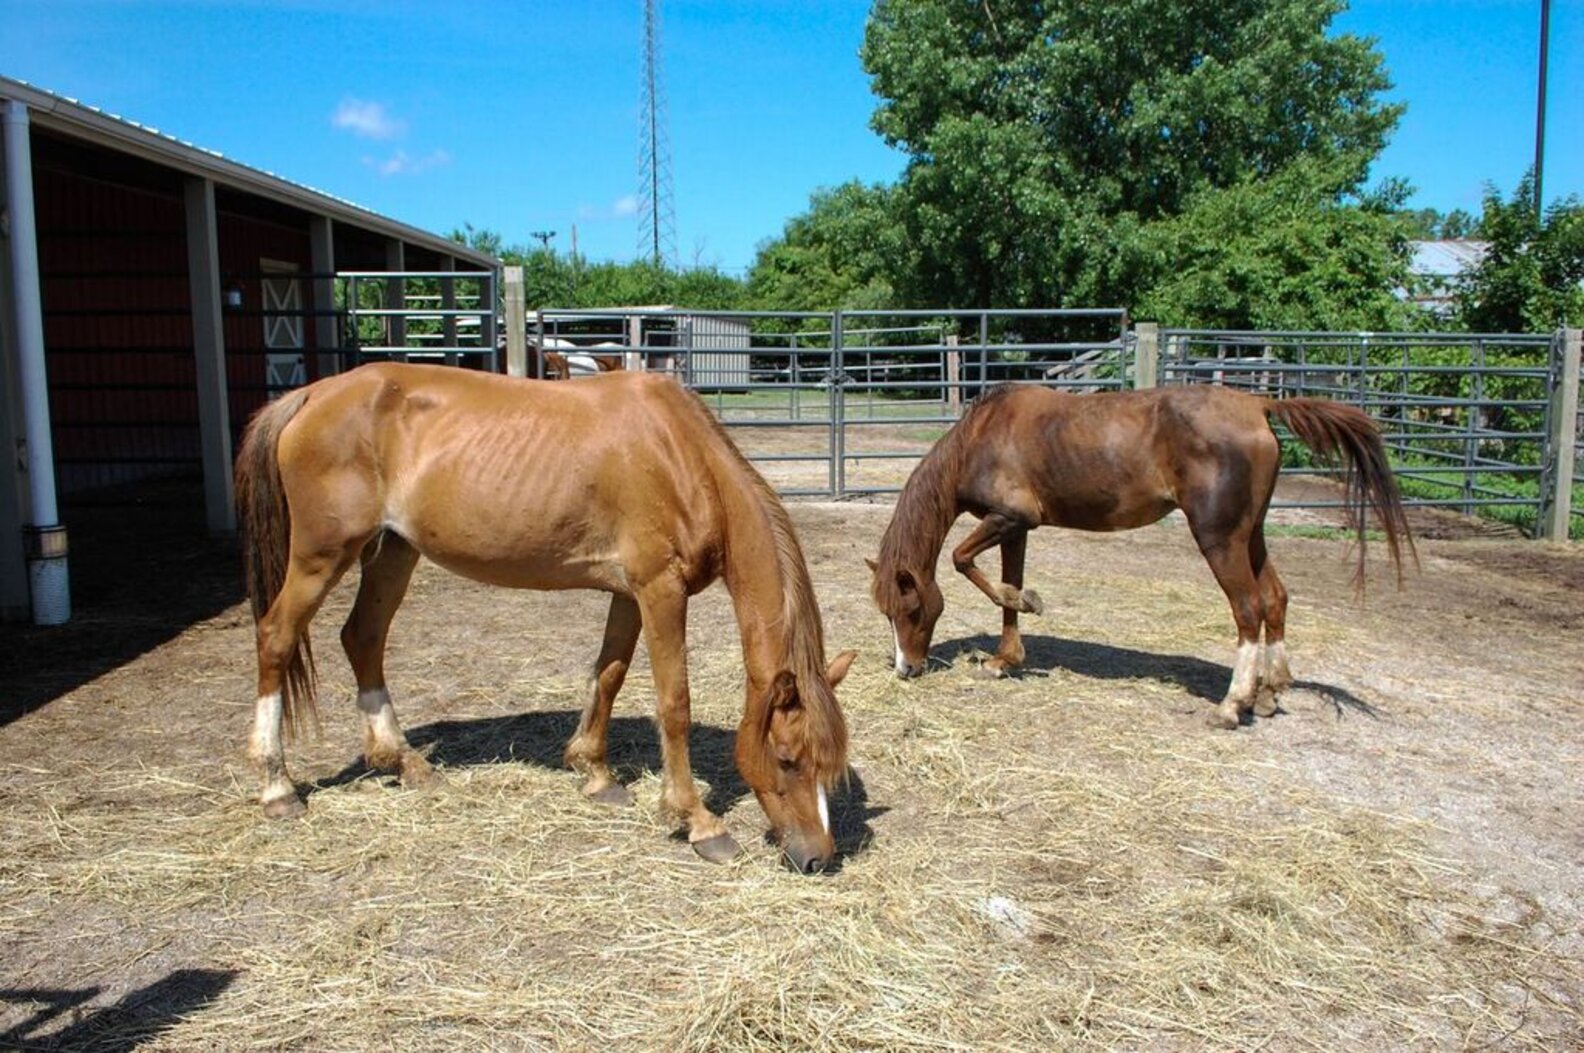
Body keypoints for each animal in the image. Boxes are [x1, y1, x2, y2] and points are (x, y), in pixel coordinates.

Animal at [235, 361, 854, 872]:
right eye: (788, 759)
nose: (817, 858)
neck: (682, 458)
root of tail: (311, 395)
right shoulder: (660, 590)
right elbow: (673, 703)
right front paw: (698, 821)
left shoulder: (628, 593)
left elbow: (609, 673)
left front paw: (595, 773)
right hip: (321, 555)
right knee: (276, 637)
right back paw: (277, 788)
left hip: (393, 552)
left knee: (362, 636)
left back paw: (403, 762)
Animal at [868, 383, 1415, 729]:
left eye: (911, 609)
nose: (905, 669)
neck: (982, 437)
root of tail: (1258, 405)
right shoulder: (1015, 527)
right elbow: (1005, 588)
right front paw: (1005, 656)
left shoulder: (1009, 518)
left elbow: (962, 561)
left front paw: (1027, 608)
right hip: (1251, 535)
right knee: (1276, 599)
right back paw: (1269, 691)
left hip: (1219, 538)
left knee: (1249, 608)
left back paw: (1231, 705)